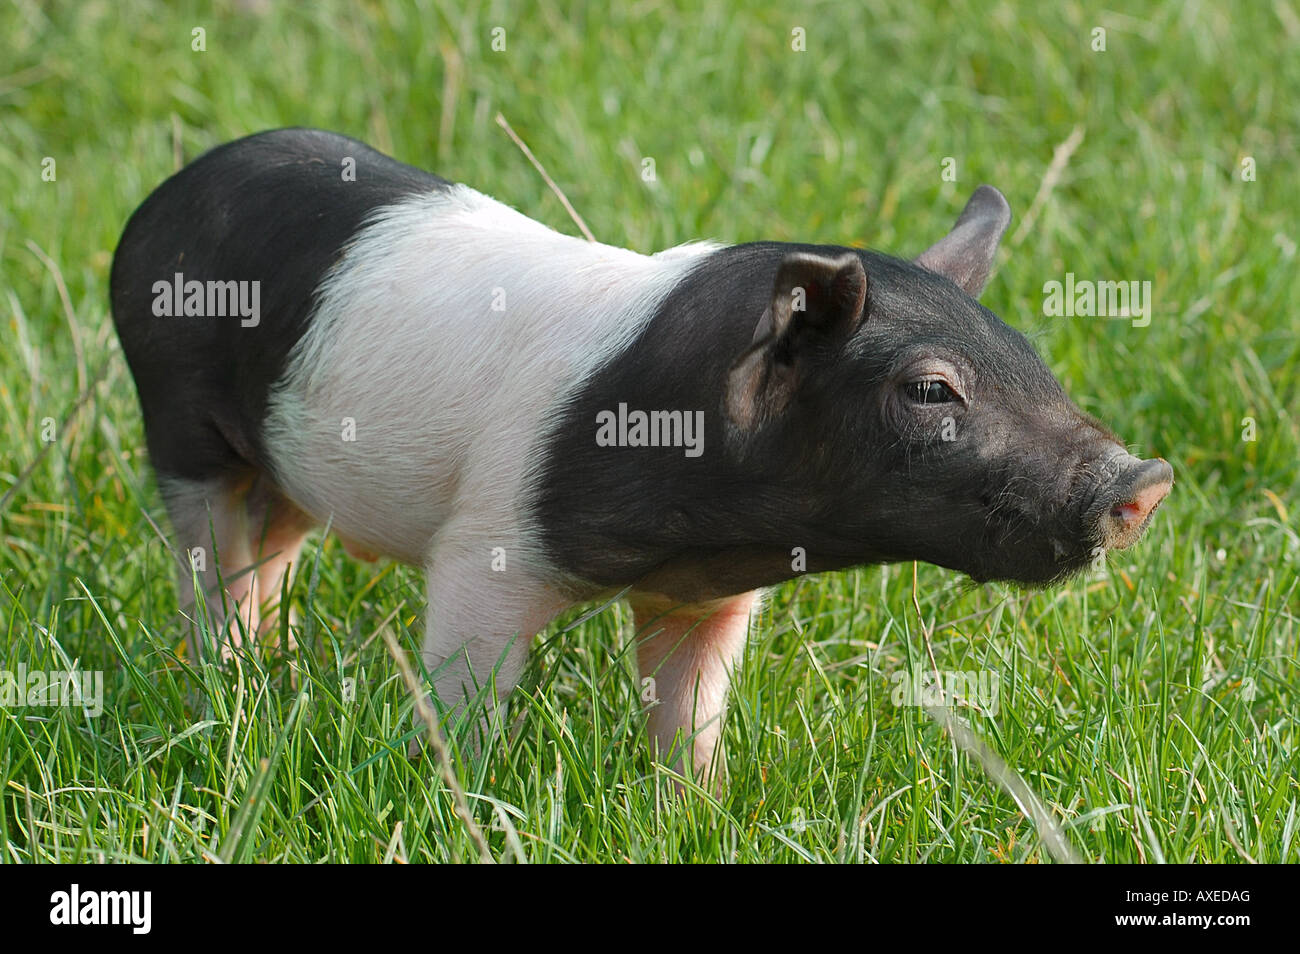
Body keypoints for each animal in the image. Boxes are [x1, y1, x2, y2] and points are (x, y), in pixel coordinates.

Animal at [109, 128, 1172, 782]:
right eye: (930, 391)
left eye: (1032, 354)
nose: (1146, 482)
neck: (712, 522)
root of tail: (167, 192)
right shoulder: (486, 544)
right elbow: (467, 688)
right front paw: (456, 789)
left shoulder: (705, 595)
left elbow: (689, 709)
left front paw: (691, 806)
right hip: (176, 412)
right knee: (208, 553)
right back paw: (223, 681)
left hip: (288, 458)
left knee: (272, 548)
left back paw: (270, 670)